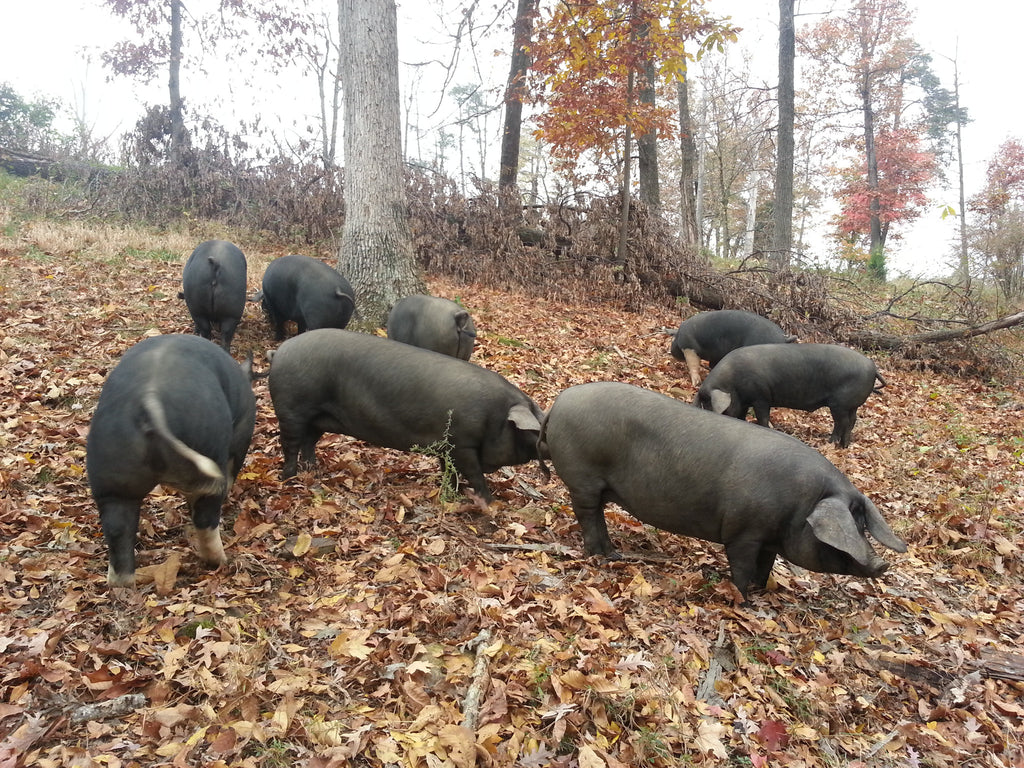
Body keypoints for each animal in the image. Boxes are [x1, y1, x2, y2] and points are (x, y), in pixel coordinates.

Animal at [86, 334, 257, 587]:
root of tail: (149, 401)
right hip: (209, 445)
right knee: (207, 515)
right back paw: (221, 561)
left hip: (110, 481)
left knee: (118, 533)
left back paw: (121, 586)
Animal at [268, 329, 543, 503]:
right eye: (534, 431)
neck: (496, 416)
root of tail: (279, 351)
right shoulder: (462, 443)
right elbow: (473, 474)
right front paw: (489, 502)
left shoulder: (446, 446)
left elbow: (449, 472)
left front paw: (452, 494)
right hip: (291, 408)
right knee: (290, 443)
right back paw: (288, 477)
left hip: (317, 417)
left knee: (309, 441)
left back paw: (312, 470)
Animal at [538, 382, 906, 602]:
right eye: (852, 525)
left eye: (863, 524)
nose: (882, 564)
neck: (801, 505)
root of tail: (558, 403)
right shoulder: (744, 532)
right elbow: (741, 567)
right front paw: (744, 599)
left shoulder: (768, 538)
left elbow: (765, 566)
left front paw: (761, 590)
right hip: (583, 478)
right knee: (588, 515)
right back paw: (604, 555)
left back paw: (613, 554)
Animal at [695, 343, 884, 447]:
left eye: (709, 405)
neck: (731, 382)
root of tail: (872, 367)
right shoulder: (745, 400)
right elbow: (742, 415)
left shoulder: (761, 397)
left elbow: (763, 417)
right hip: (852, 405)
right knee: (852, 421)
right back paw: (845, 446)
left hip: (840, 404)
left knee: (841, 422)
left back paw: (831, 444)